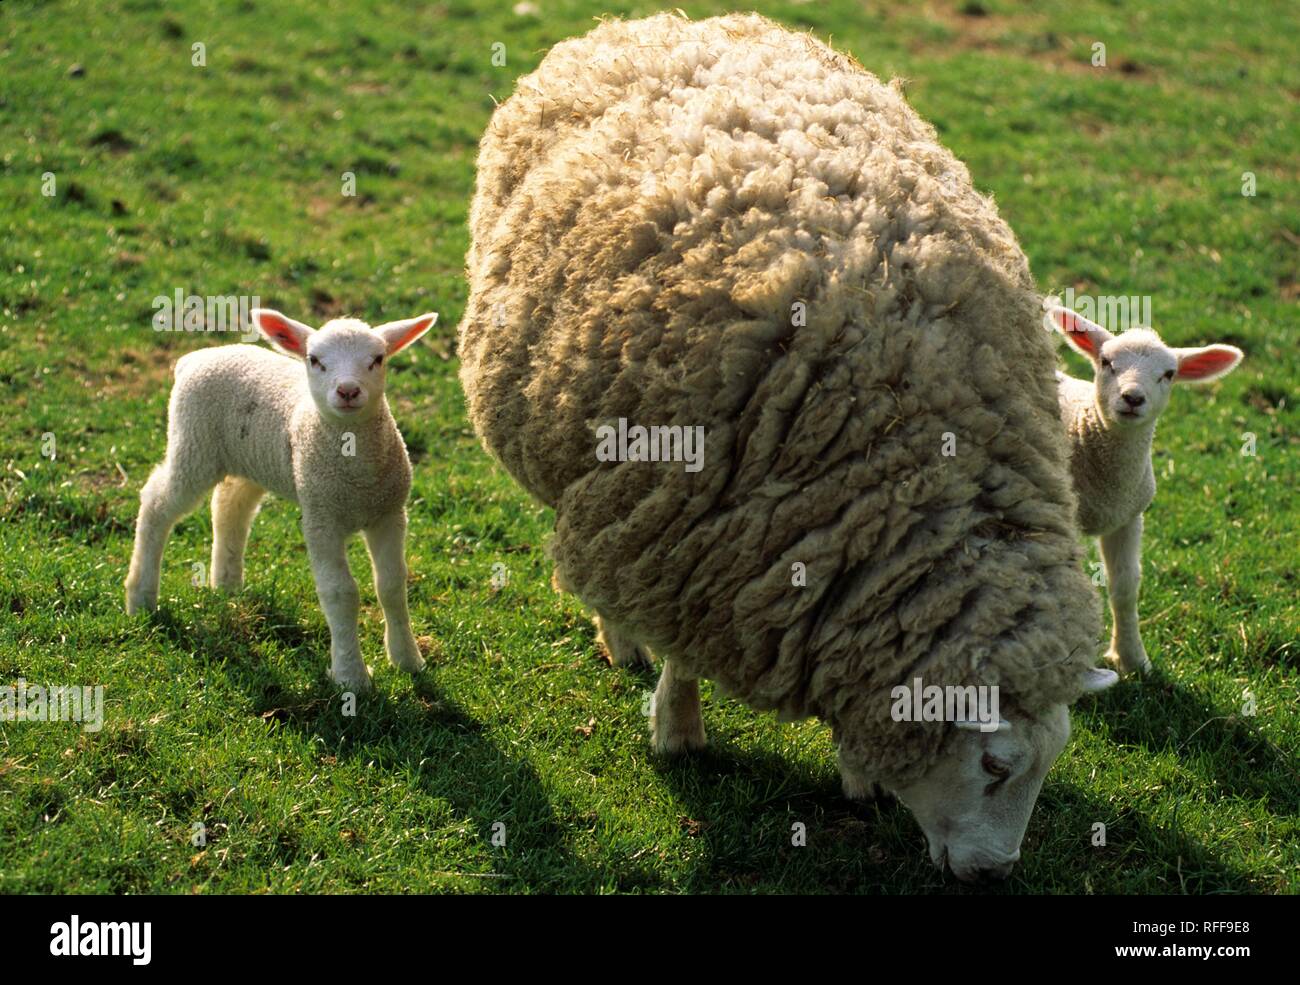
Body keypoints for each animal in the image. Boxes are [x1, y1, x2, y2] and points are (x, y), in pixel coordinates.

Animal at [125, 308, 437, 692]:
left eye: (377, 359)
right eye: (314, 360)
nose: (348, 390)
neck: (356, 477)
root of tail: (195, 358)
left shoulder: (390, 513)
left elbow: (392, 585)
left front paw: (408, 660)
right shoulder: (321, 517)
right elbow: (341, 593)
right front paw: (351, 676)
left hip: (250, 459)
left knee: (230, 504)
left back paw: (226, 585)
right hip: (193, 446)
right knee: (156, 503)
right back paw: (140, 596)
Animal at [458, 11, 1119, 881]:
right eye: (995, 763)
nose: (993, 874)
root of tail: (649, 23)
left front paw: (860, 772)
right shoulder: (690, 536)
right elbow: (684, 654)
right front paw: (677, 729)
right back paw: (621, 640)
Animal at [1046, 304, 1244, 674]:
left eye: (1168, 374)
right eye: (1106, 361)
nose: (1133, 398)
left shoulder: (1127, 516)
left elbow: (1124, 587)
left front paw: (1132, 657)